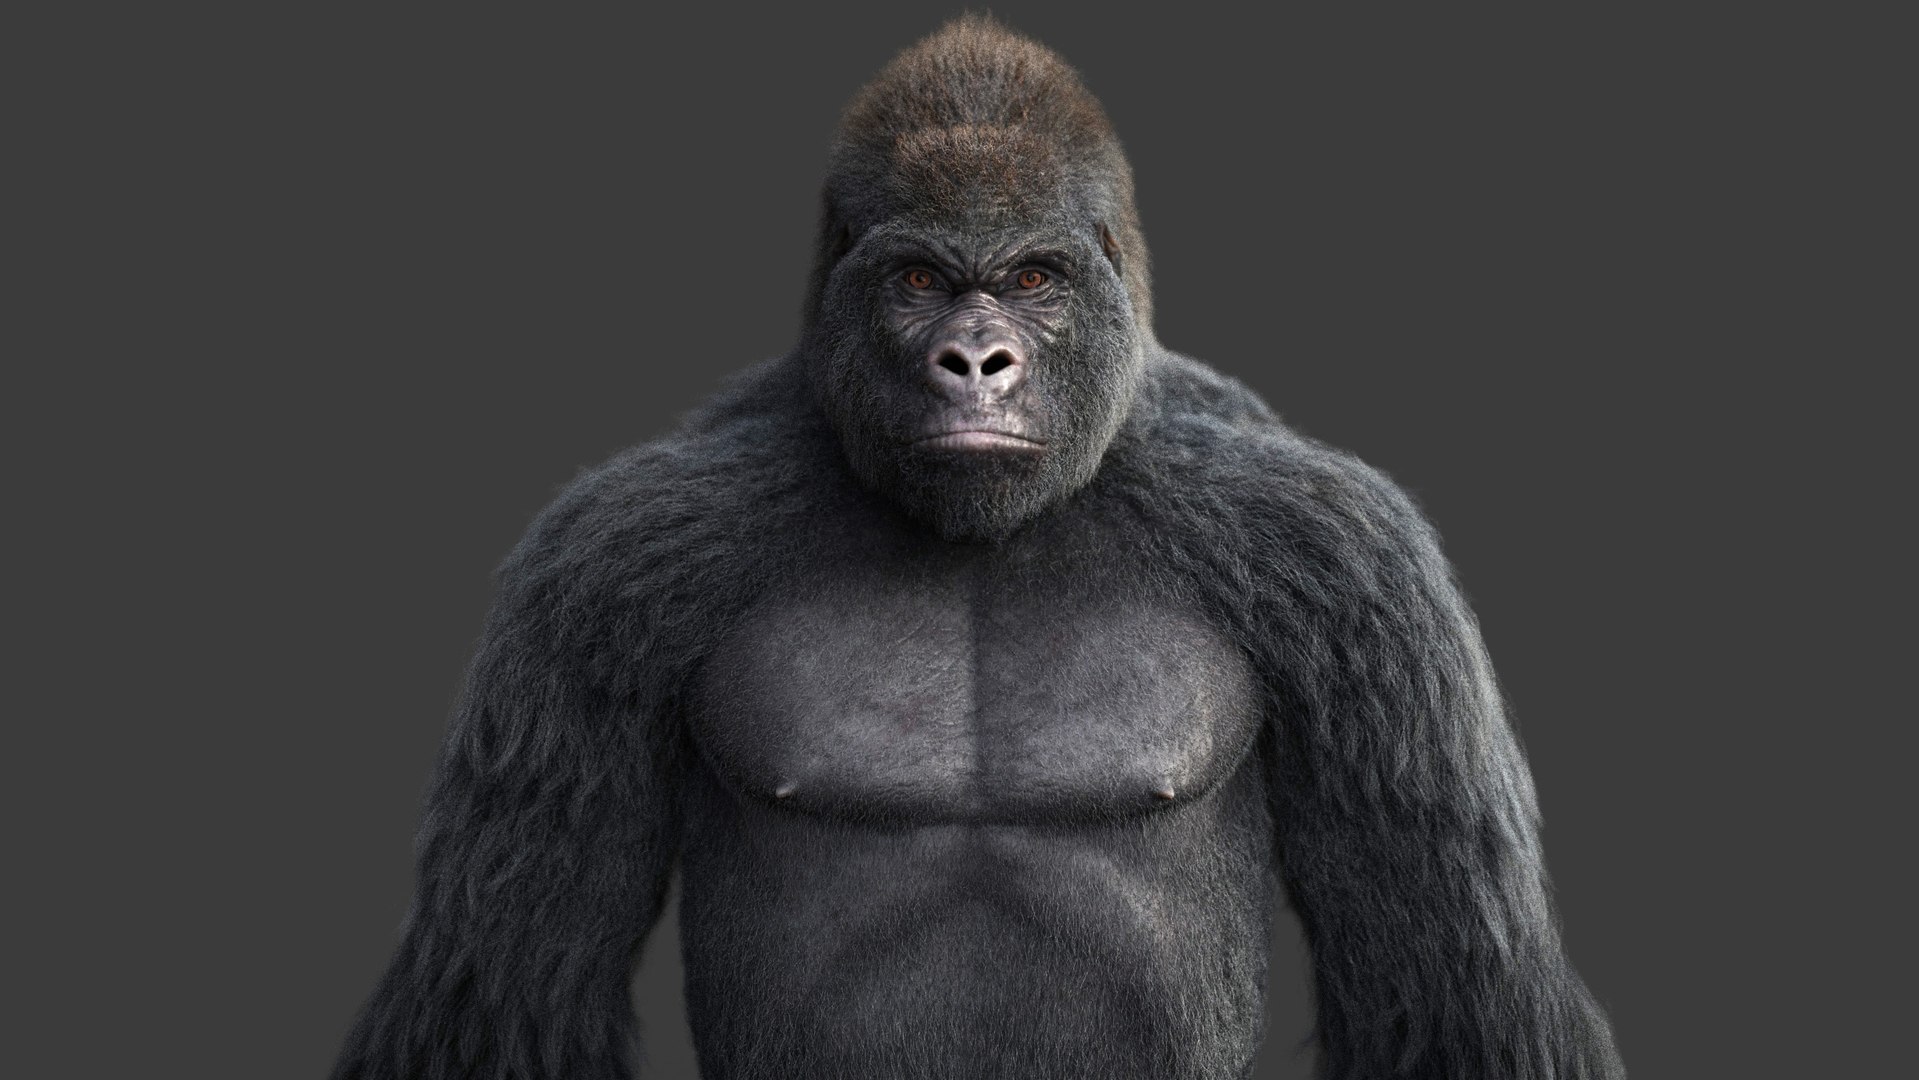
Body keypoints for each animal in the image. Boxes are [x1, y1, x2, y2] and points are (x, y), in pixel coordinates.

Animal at [332, 15, 1624, 1079]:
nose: (975, 362)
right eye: (918, 279)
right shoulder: (603, 566)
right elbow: (509, 985)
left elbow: (1452, 987)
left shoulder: (1347, 561)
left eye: (1032, 279)